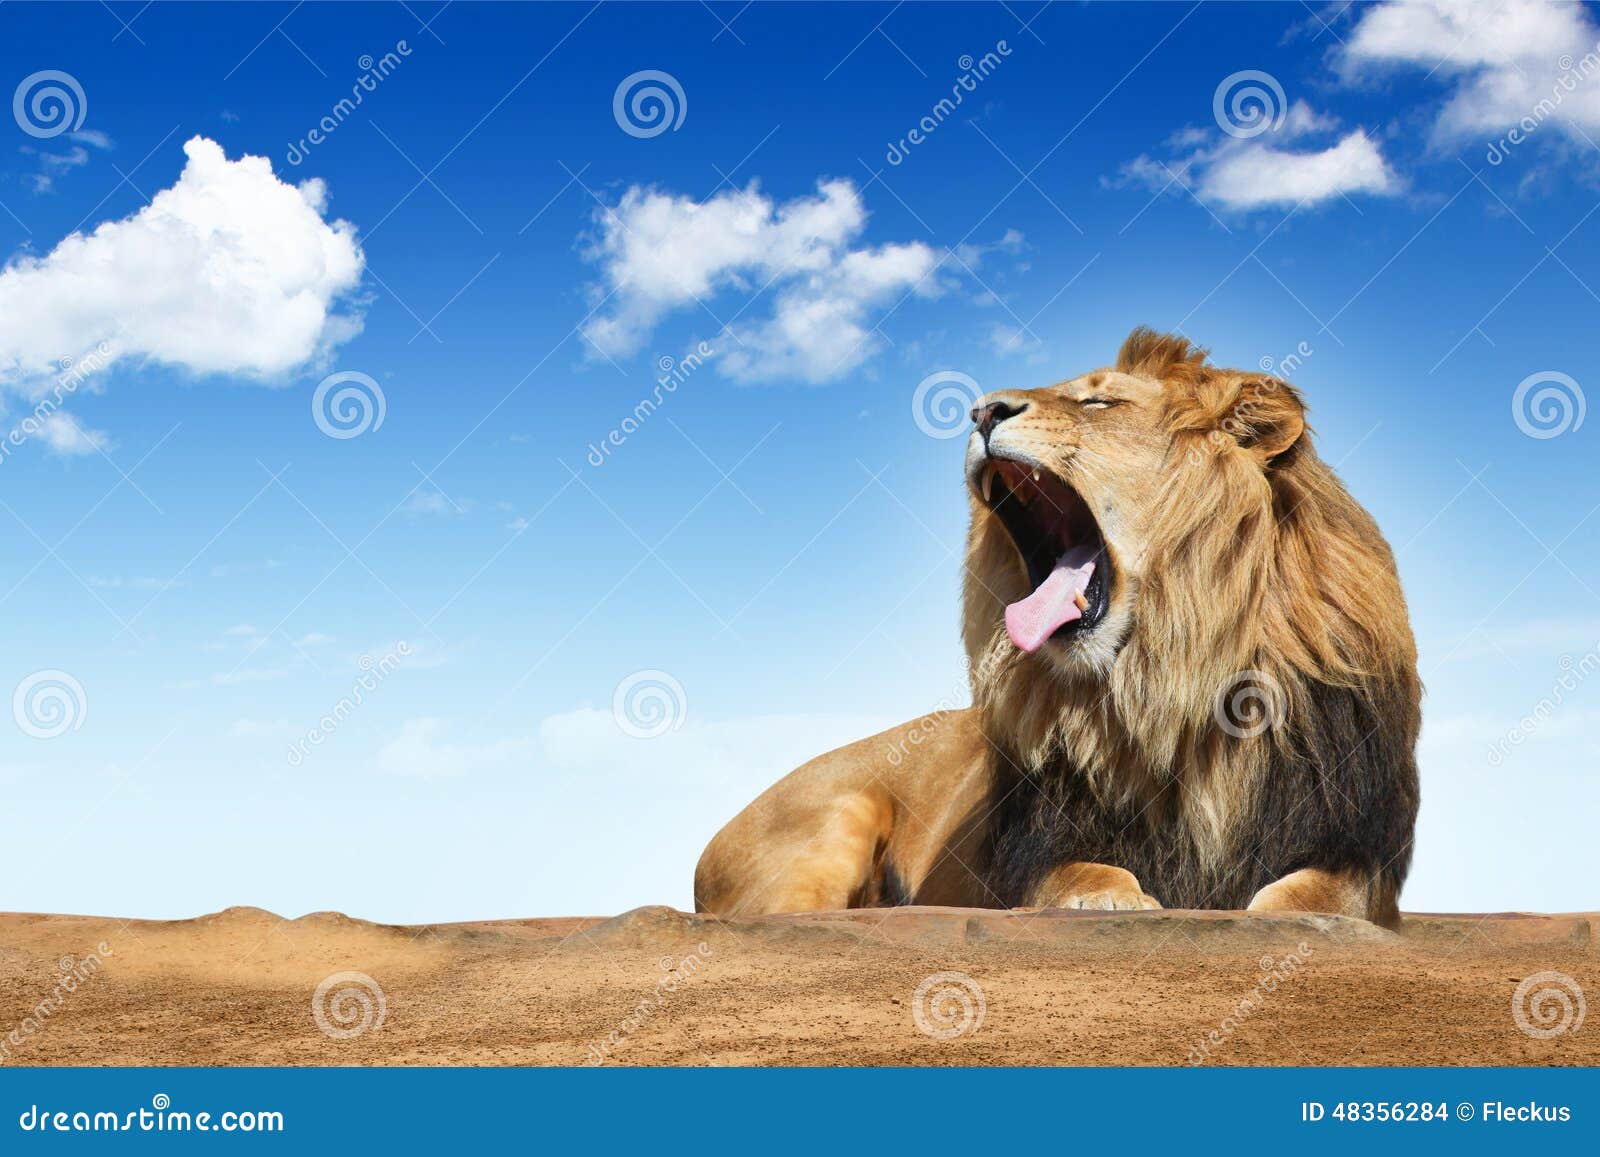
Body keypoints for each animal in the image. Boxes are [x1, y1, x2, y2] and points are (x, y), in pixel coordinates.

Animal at [695, 329, 1420, 928]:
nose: (982, 412)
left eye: (1100, 404)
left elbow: (1313, 894)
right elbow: (1077, 871)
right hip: (839, 817)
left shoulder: (1355, 846)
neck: (1168, 686)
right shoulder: (1035, 849)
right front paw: (1110, 898)